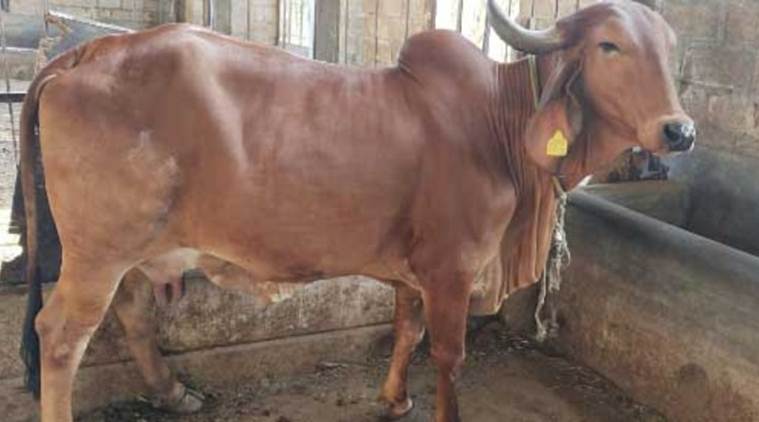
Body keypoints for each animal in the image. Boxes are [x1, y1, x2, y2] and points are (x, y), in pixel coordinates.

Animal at [18, 1, 694, 421]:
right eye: (608, 45)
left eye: (669, 49)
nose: (679, 130)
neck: (499, 124)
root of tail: (85, 53)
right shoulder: (452, 268)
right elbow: (448, 355)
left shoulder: (414, 271)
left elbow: (406, 331)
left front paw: (395, 399)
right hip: (97, 254)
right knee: (60, 335)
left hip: (135, 252)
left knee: (130, 316)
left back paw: (173, 393)